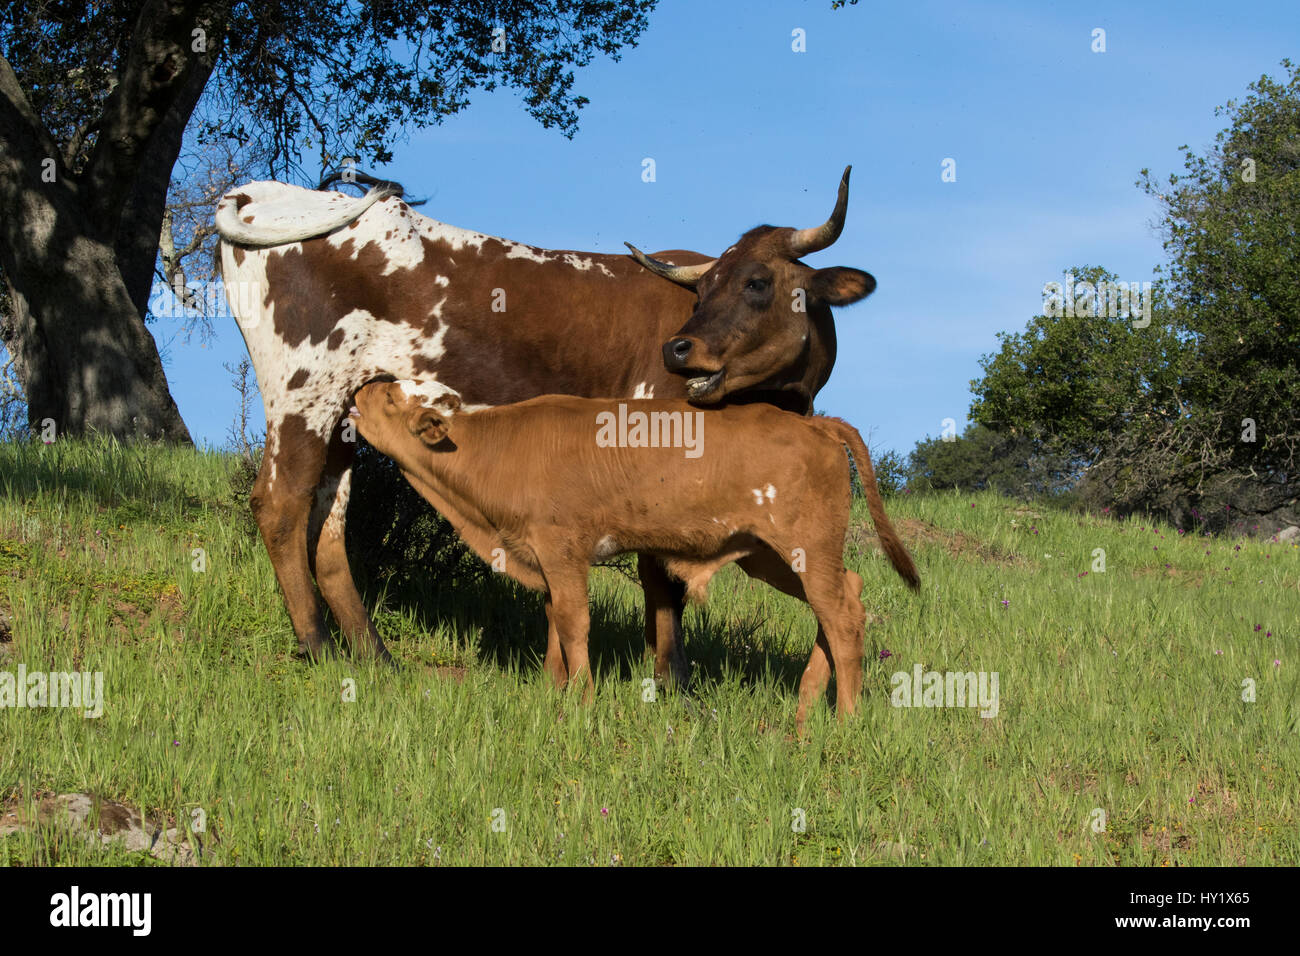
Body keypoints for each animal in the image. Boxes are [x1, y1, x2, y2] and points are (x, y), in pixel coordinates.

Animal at [215, 167, 874, 680]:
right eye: (704, 288)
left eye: (757, 282)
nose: (677, 350)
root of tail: (261, 192)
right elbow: (662, 576)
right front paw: (670, 681)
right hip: (303, 392)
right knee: (282, 504)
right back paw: (318, 647)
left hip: (342, 416)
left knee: (328, 524)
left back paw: (375, 657)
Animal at [348, 379, 920, 730]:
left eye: (392, 398)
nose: (362, 386)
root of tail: (812, 423)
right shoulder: (543, 556)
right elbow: (553, 620)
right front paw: (553, 693)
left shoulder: (563, 546)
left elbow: (574, 621)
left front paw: (582, 701)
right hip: (769, 554)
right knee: (846, 596)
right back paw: (805, 710)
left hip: (805, 543)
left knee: (842, 616)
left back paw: (845, 718)